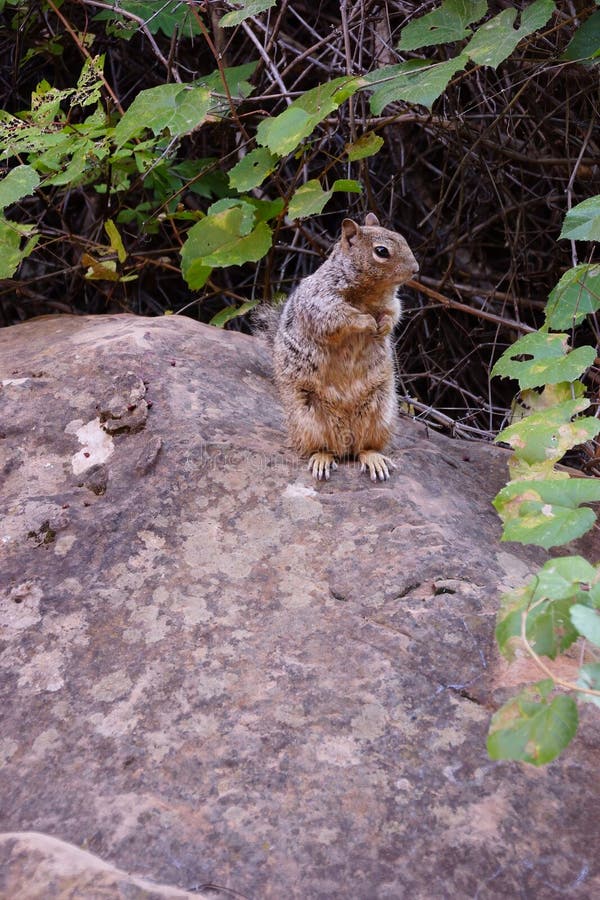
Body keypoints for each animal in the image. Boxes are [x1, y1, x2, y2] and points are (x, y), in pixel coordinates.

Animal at [273, 213, 418, 481]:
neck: (370, 293)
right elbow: (343, 319)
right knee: (323, 448)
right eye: (381, 251)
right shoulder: (322, 304)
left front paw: (383, 326)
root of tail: (344, 441)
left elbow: (393, 313)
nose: (416, 269)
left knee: (364, 448)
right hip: (307, 416)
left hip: (380, 412)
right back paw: (322, 459)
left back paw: (373, 459)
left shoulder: (391, 303)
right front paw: (367, 322)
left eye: (402, 237)